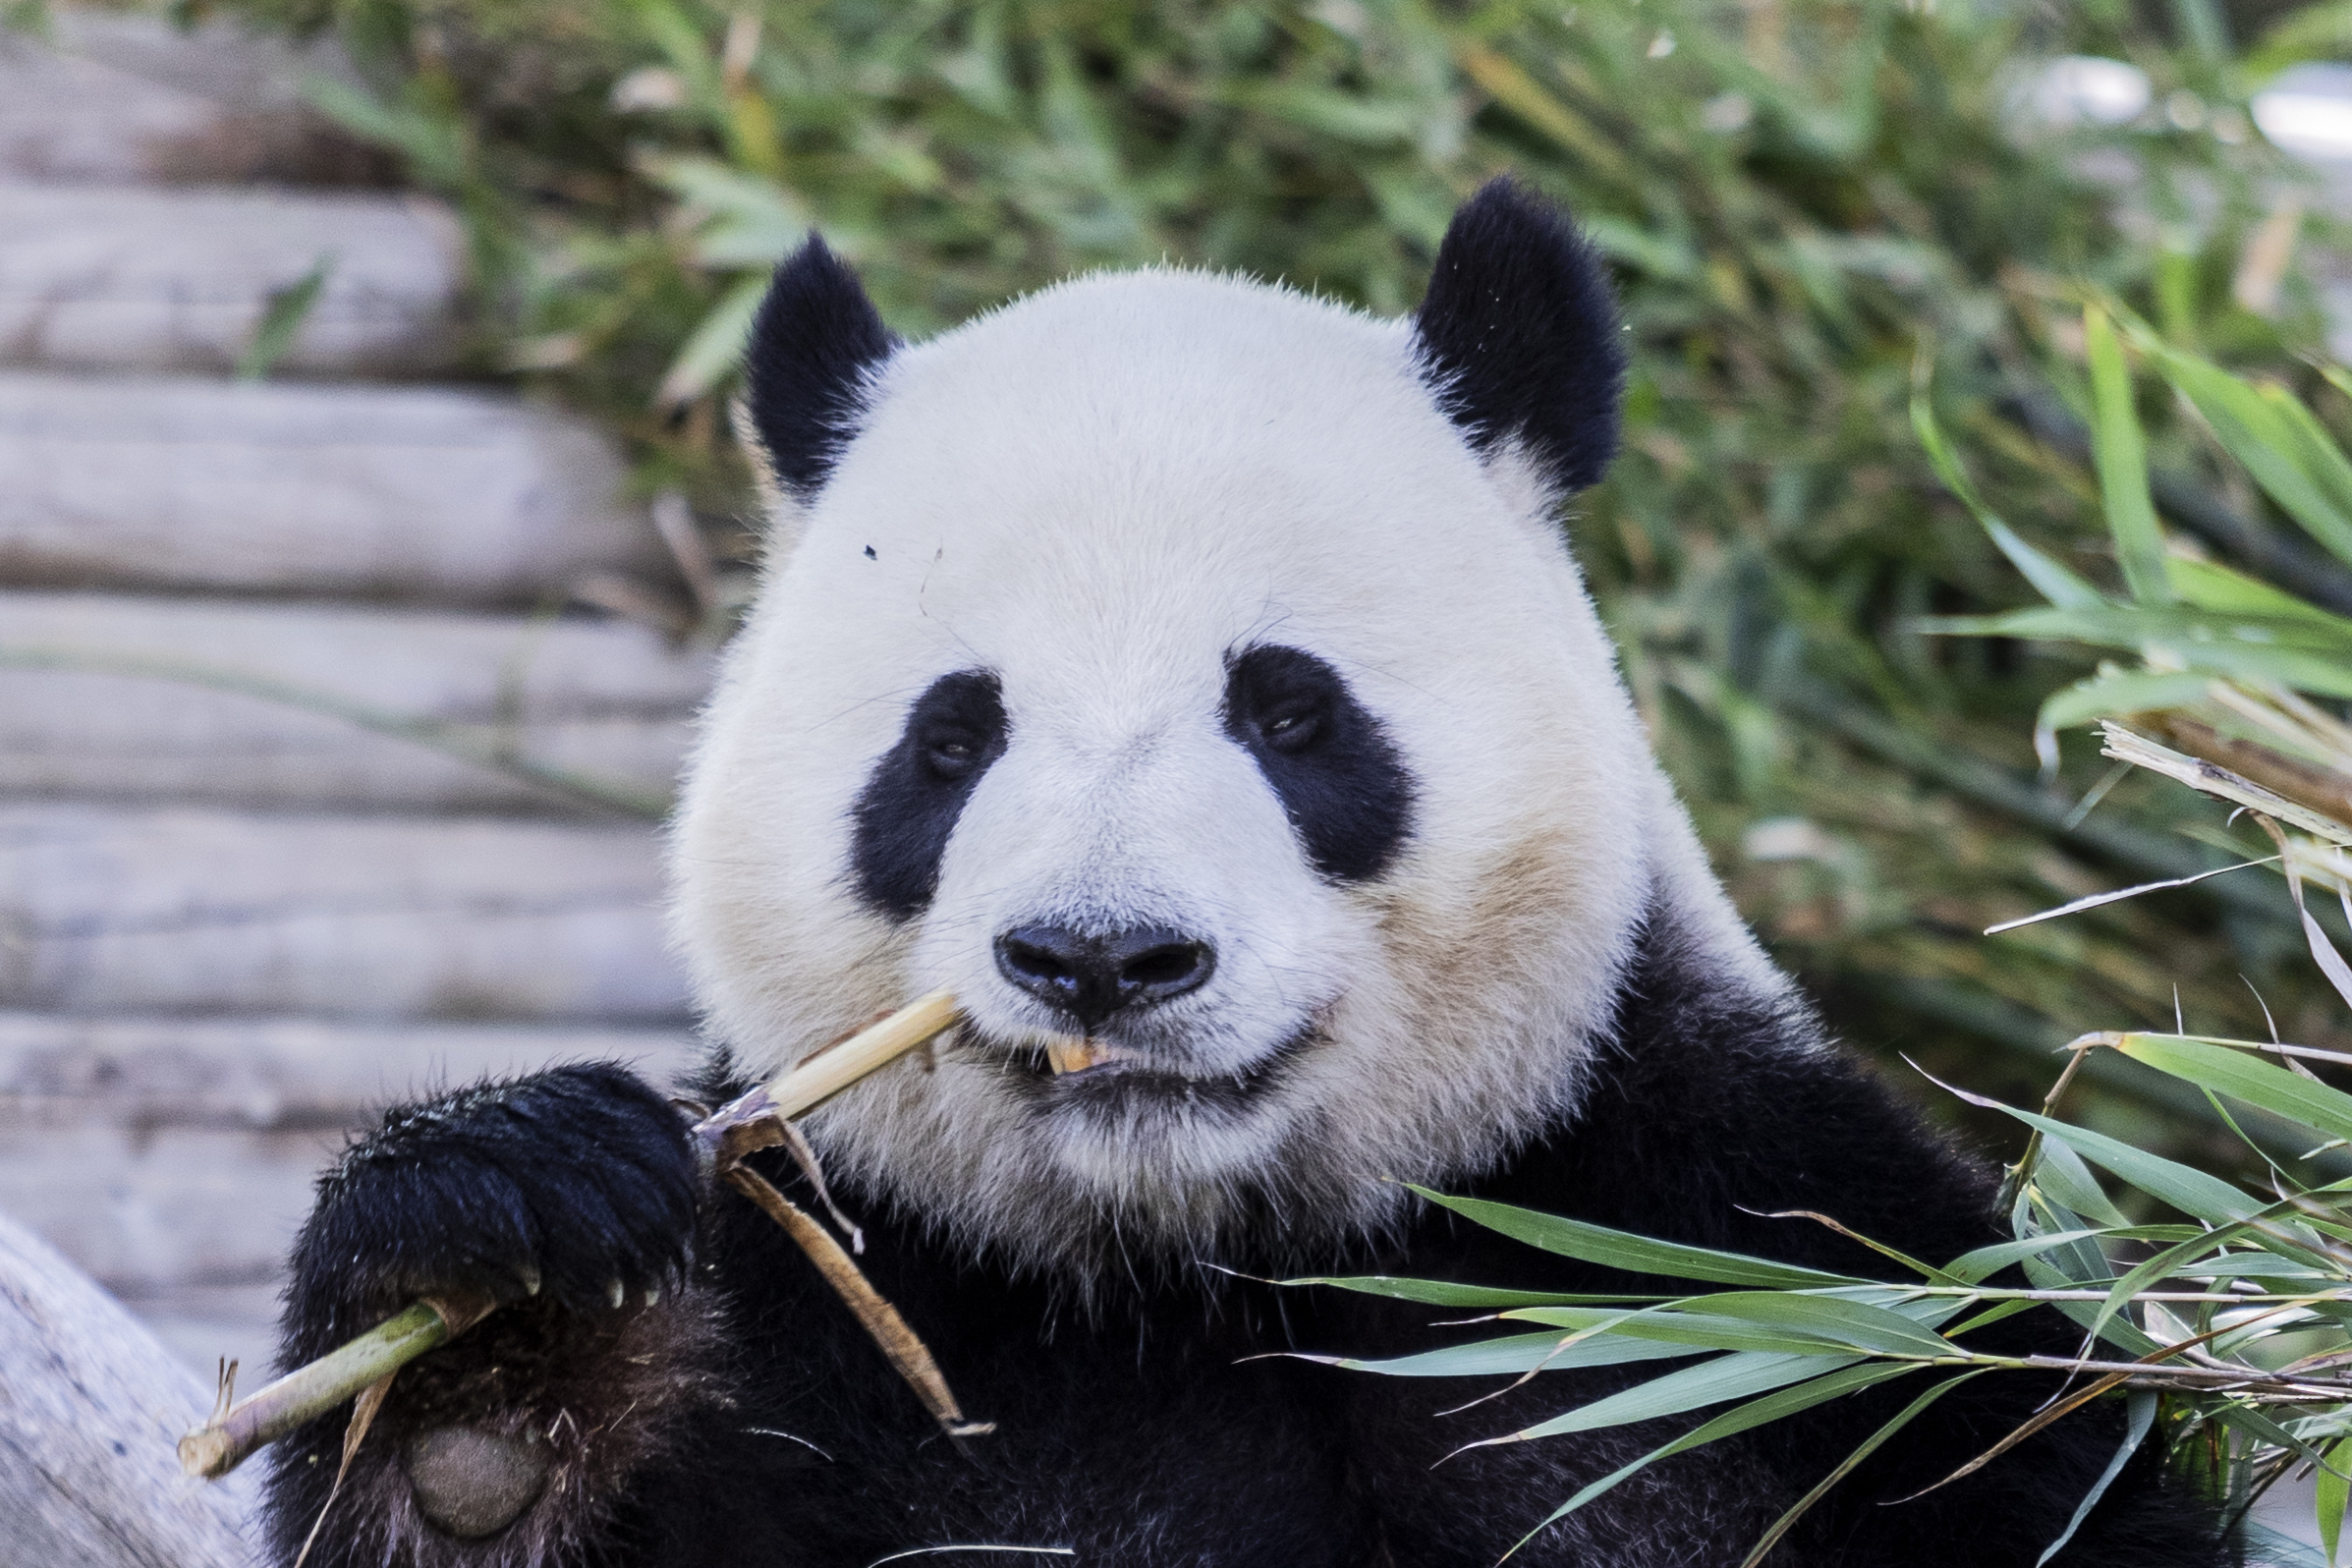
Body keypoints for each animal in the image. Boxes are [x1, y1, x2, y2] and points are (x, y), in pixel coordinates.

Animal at [264, 181, 2232, 1568]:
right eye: (949, 742)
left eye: (1290, 712)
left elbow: (1996, 1445)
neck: (1210, 1268)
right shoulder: (842, 1311)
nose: (1101, 959)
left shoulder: (1770, 1285)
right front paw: (490, 1354)